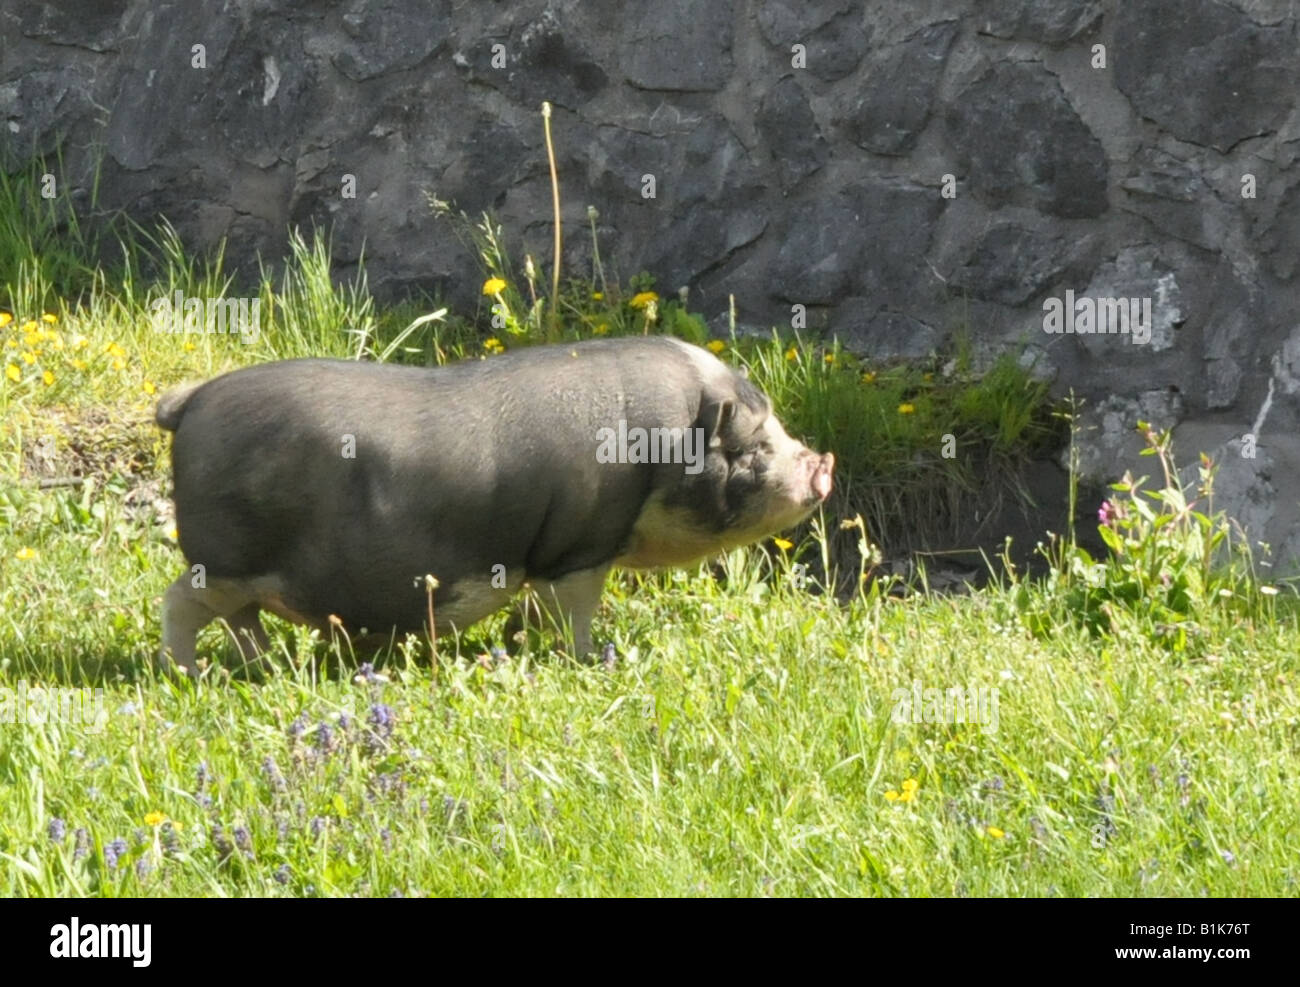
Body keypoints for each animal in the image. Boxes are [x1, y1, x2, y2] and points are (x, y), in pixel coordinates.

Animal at [154, 336, 834, 673]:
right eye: (752, 445)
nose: (822, 466)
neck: (659, 453)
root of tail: (189, 403)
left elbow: (537, 608)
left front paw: (520, 639)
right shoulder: (581, 547)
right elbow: (575, 611)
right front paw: (590, 661)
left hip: (244, 575)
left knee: (241, 620)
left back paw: (260, 669)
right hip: (223, 561)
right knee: (181, 602)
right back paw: (189, 674)